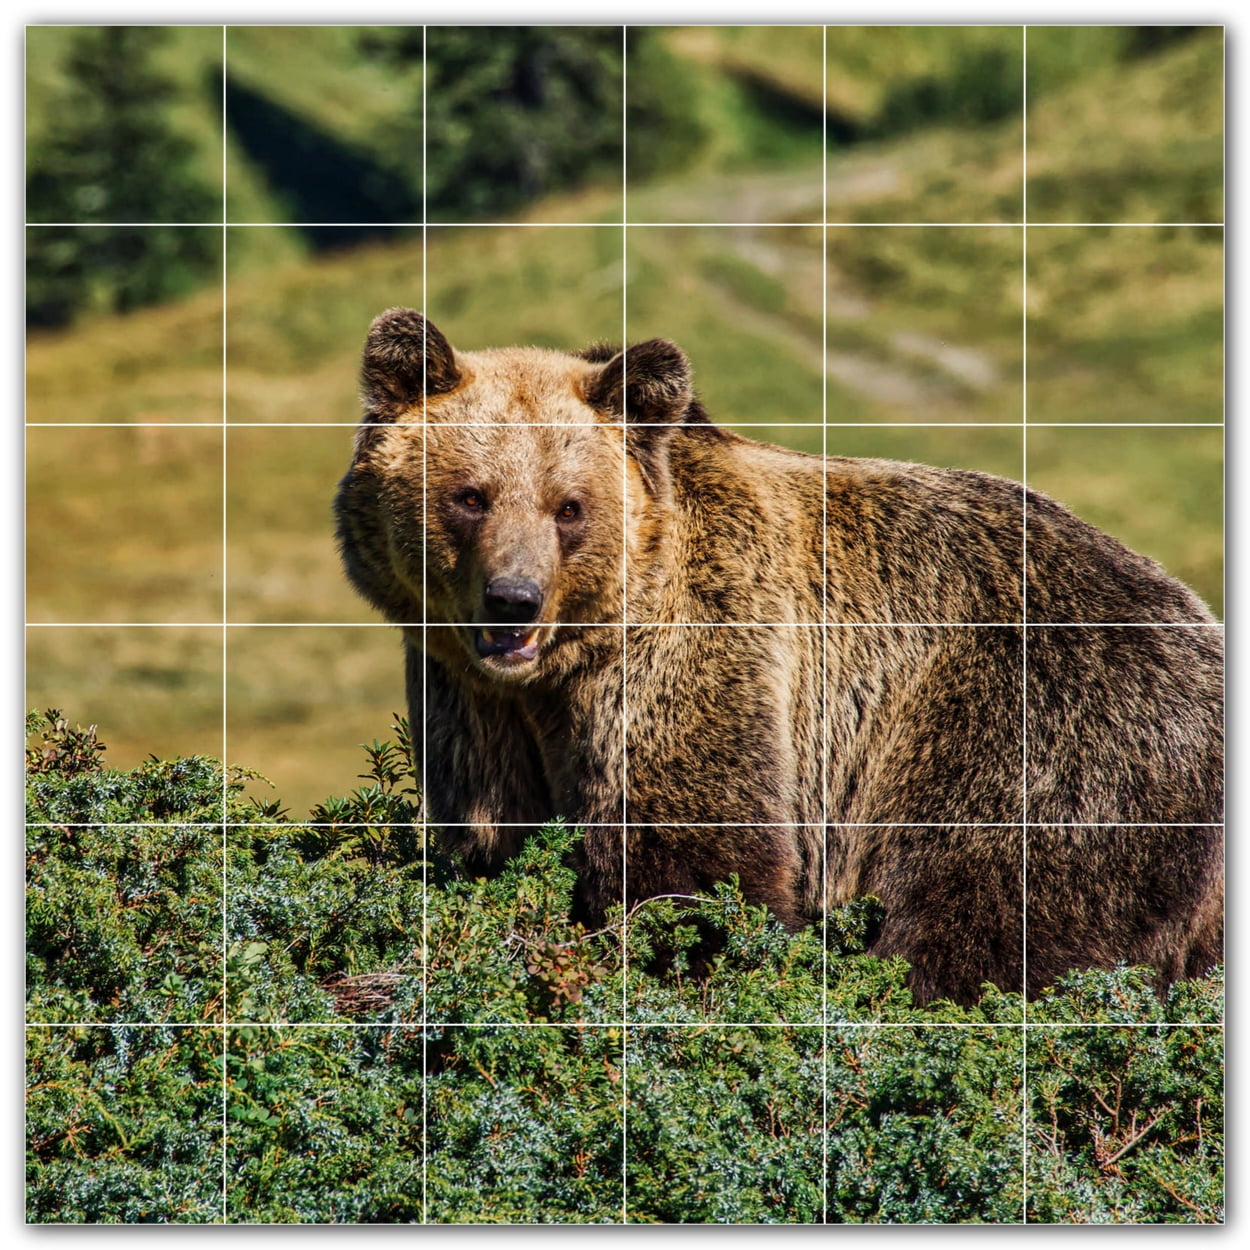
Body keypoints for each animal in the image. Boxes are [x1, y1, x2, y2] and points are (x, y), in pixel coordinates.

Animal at [335, 309, 1223, 1004]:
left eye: (569, 507)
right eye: (470, 496)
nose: (514, 598)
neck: (562, 672)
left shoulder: (695, 665)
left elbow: (695, 861)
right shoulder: (470, 701)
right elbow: (490, 835)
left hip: (1039, 729)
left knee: (980, 912)